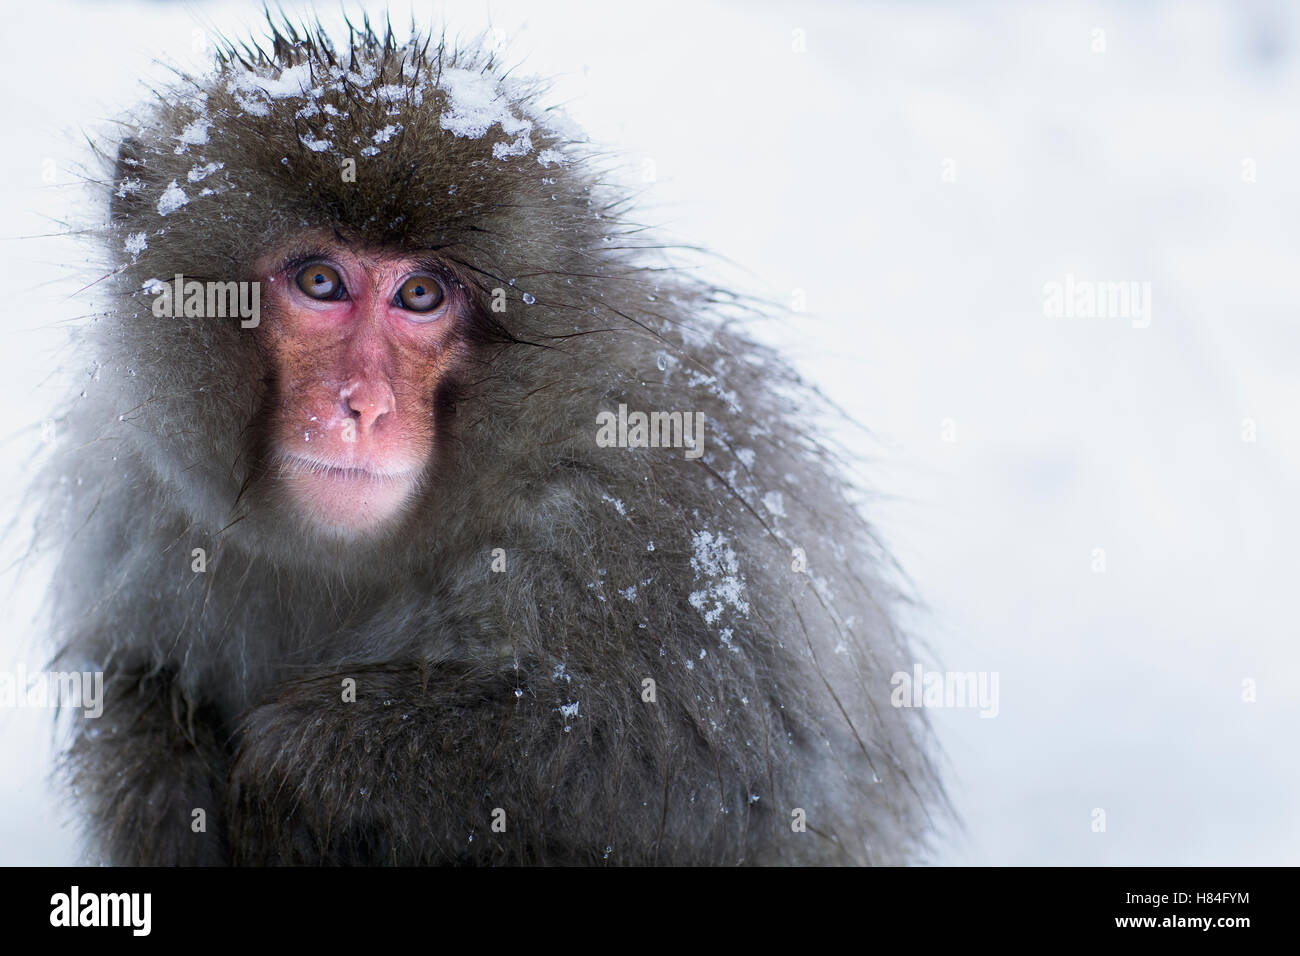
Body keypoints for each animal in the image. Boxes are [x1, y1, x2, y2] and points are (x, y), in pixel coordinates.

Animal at [36, 14, 945, 865]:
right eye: (321, 282)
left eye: (421, 294)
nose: (363, 406)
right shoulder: (139, 498)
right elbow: (133, 680)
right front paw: (169, 789)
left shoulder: (645, 526)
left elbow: (718, 779)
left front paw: (302, 761)